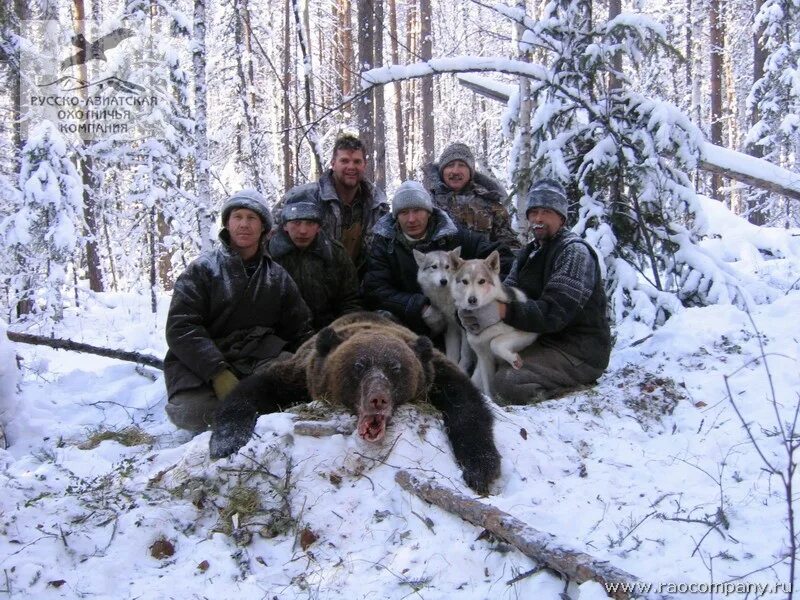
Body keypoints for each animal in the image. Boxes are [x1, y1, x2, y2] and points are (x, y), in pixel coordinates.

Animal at [211, 314, 500, 492]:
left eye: (395, 368)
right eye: (359, 366)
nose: (378, 398)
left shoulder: (438, 374)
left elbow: (467, 407)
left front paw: (481, 467)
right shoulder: (302, 375)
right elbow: (254, 389)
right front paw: (225, 440)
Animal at [450, 250, 536, 398]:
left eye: (482, 281)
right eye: (465, 282)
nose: (472, 300)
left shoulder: (529, 333)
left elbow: (495, 342)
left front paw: (513, 359)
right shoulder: (484, 358)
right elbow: (488, 387)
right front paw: (491, 400)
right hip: (477, 376)